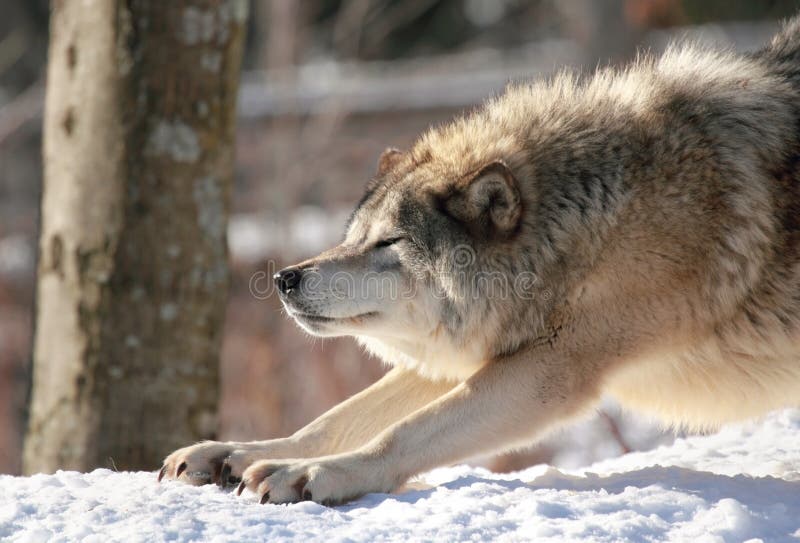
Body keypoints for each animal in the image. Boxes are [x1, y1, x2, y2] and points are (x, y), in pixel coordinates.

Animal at [159, 17, 800, 505]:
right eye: (354, 237)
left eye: (389, 243)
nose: (285, 278)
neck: (594, 221)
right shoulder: (472, 350)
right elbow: (334, 418)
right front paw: (234, 453)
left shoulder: (550, 367)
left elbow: (403, 432)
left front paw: (315, 474)